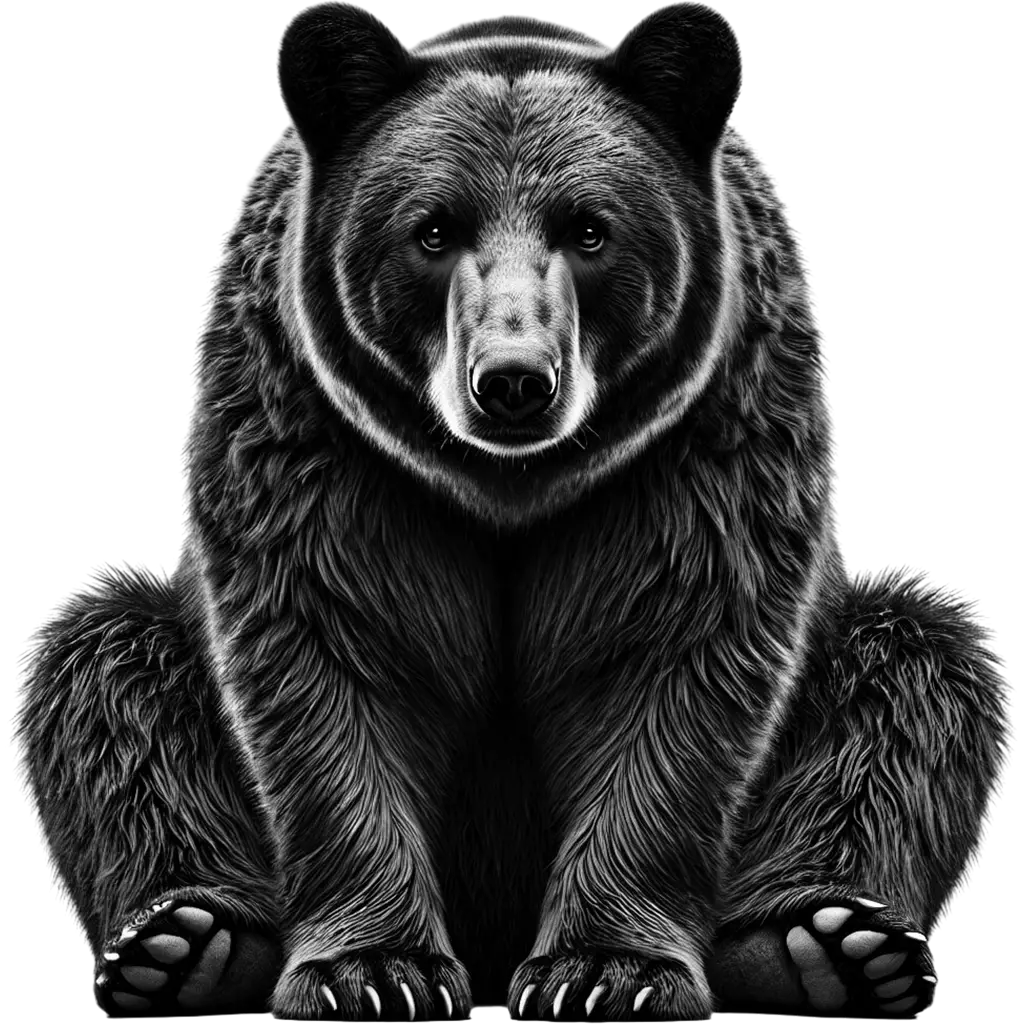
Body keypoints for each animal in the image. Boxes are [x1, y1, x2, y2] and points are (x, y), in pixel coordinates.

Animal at [9, 1, 1014, 1021]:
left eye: (591, 229)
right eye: (432, 229)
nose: (516, 382)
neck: (509, 485)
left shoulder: (700, 443)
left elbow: (678, 662)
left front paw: (607, 970)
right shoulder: (313, 434)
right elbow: (325, 659)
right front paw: (375, 970)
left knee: (915, 669)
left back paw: (827, 941)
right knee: (103, 662)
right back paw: (189, 940)